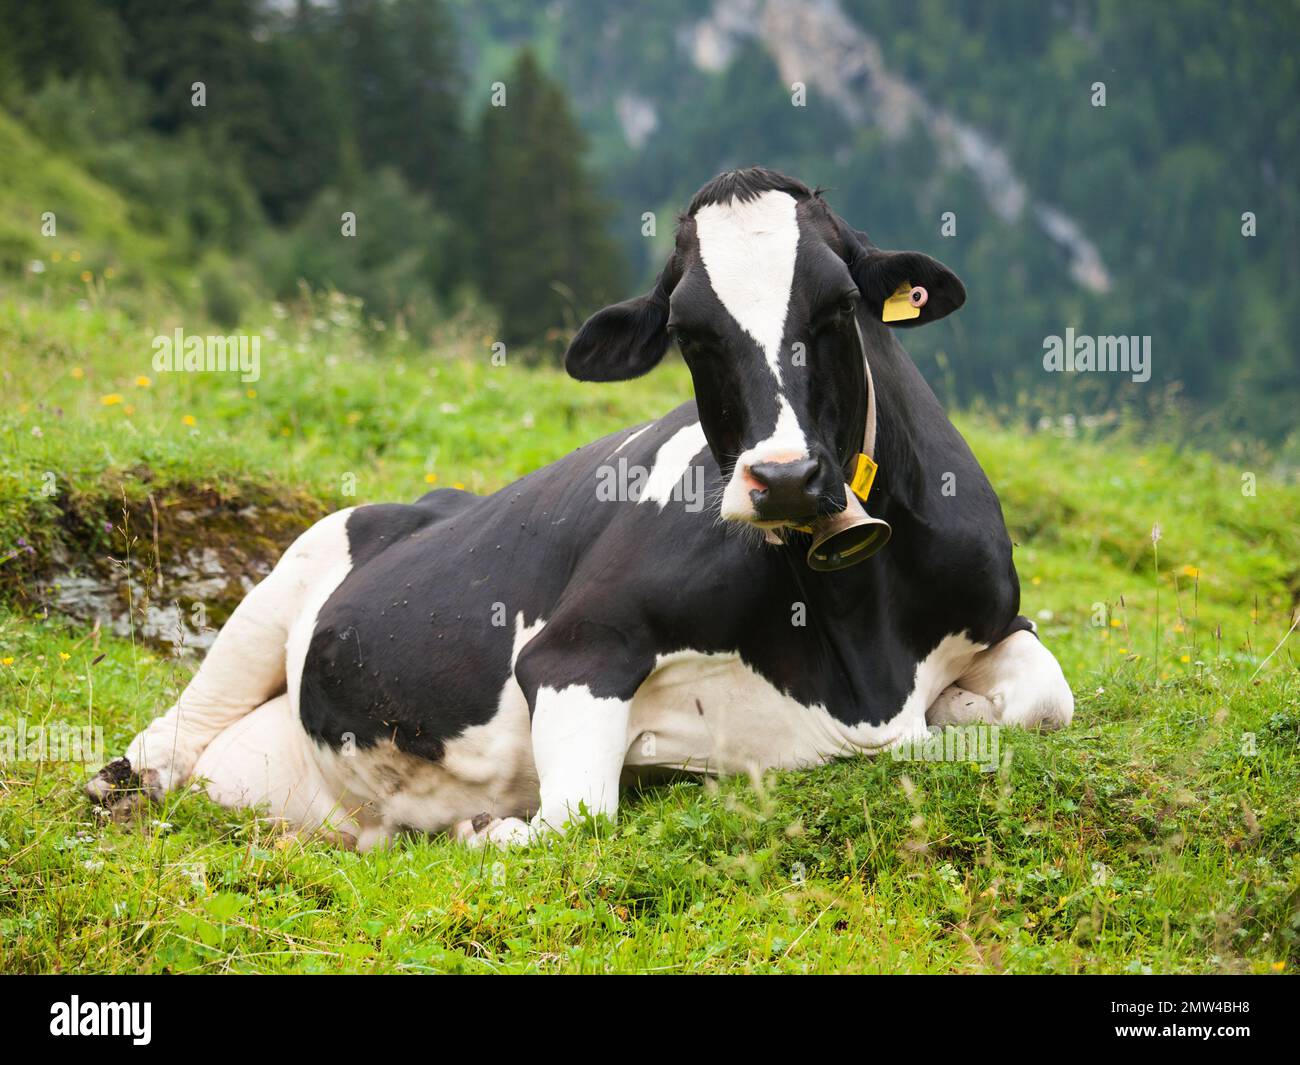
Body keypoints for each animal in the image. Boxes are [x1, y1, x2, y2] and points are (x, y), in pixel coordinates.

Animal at [86, 167, 1073, 848]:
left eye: (837, 305)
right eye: (689, 332)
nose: (784, 477)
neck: (852, 636)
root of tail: (429, 500)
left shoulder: (1000, 615)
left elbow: (1046, 700)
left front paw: (959, 714)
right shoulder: (576, 648)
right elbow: (576, 819)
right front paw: (490, 829)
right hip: (289, 575)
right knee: (170, 739)